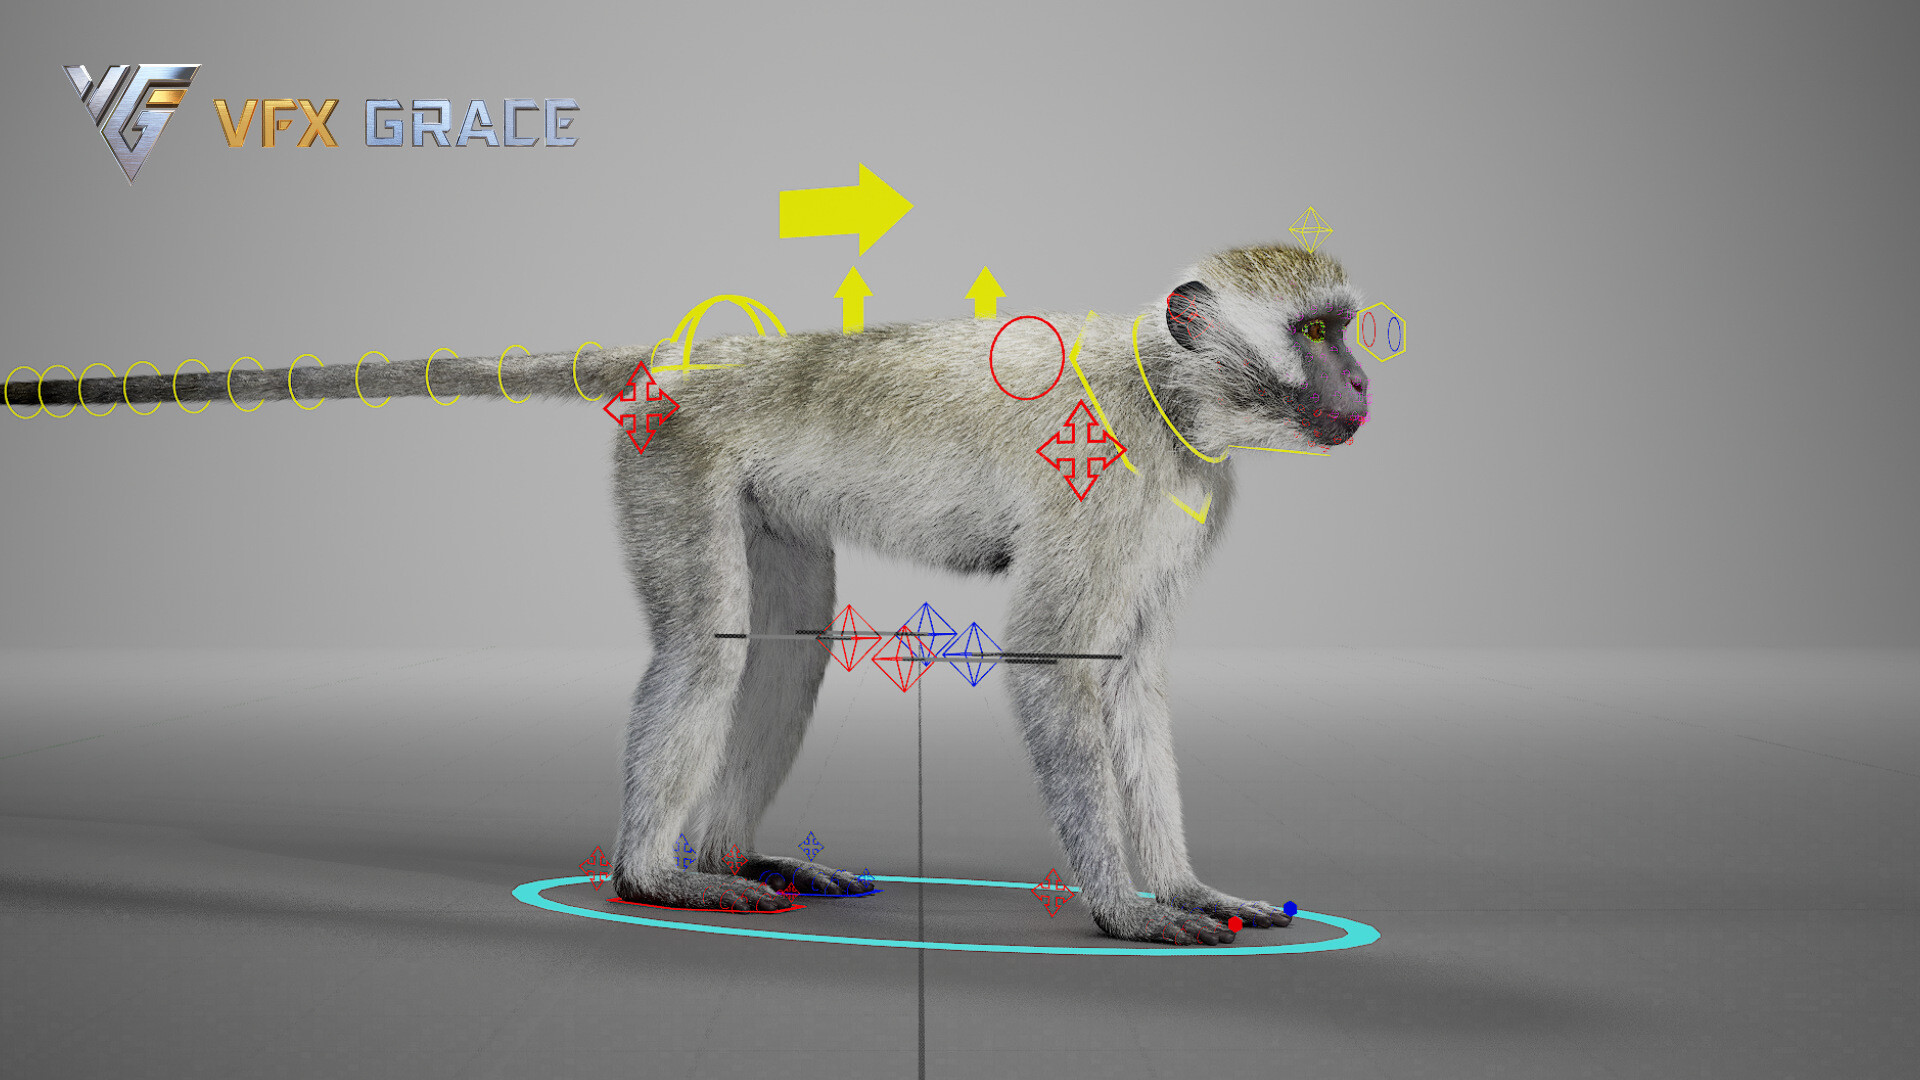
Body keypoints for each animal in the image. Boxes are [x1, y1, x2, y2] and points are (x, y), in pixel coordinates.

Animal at [6, 242, 1370, 946]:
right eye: (1316, 331)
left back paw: (728, 848)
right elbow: (1050, 657)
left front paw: (1184, 887)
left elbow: (1125, 677)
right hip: (673, 452)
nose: (1363, 385)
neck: (1168, 389)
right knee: (713, 651)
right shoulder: (1118, 472)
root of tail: (691, 354)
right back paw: (658, 875)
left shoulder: (1184, 491)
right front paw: (1124, 909)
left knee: (785, 643)